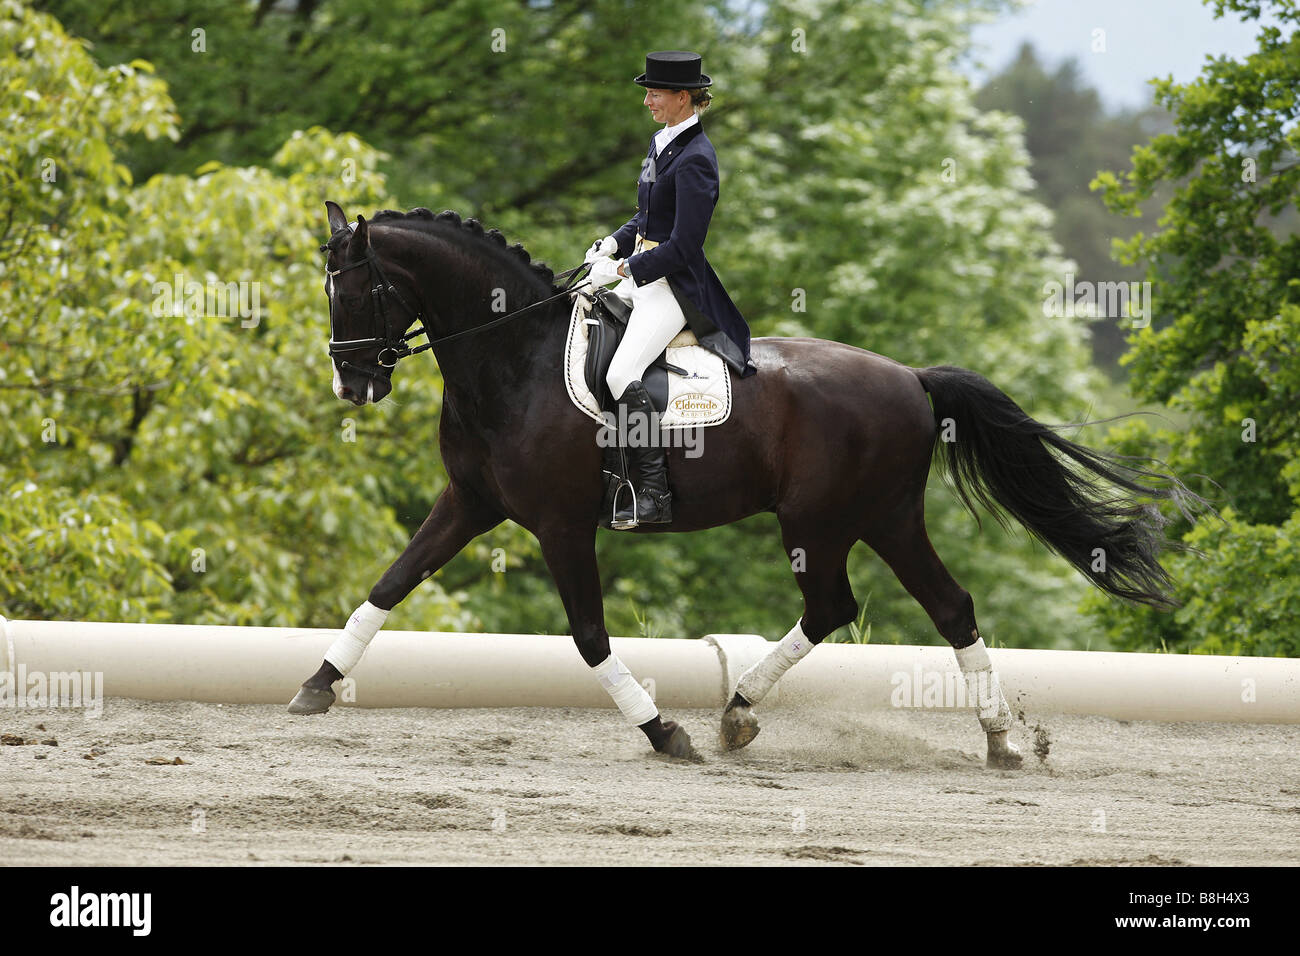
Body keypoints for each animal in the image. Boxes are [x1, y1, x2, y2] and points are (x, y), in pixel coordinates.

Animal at [289, 201, 1203, 767]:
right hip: (881, 517)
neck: (515, 360)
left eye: (361, 290)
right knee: (939, 608)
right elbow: (387, 586)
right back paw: (983, 739)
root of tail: (910, 378)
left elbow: (588, 635)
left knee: (846, 606)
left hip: (826, 519)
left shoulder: (560, 524)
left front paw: (664, 734)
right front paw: (315, 687)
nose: (351, 386)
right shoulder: (470, 503)